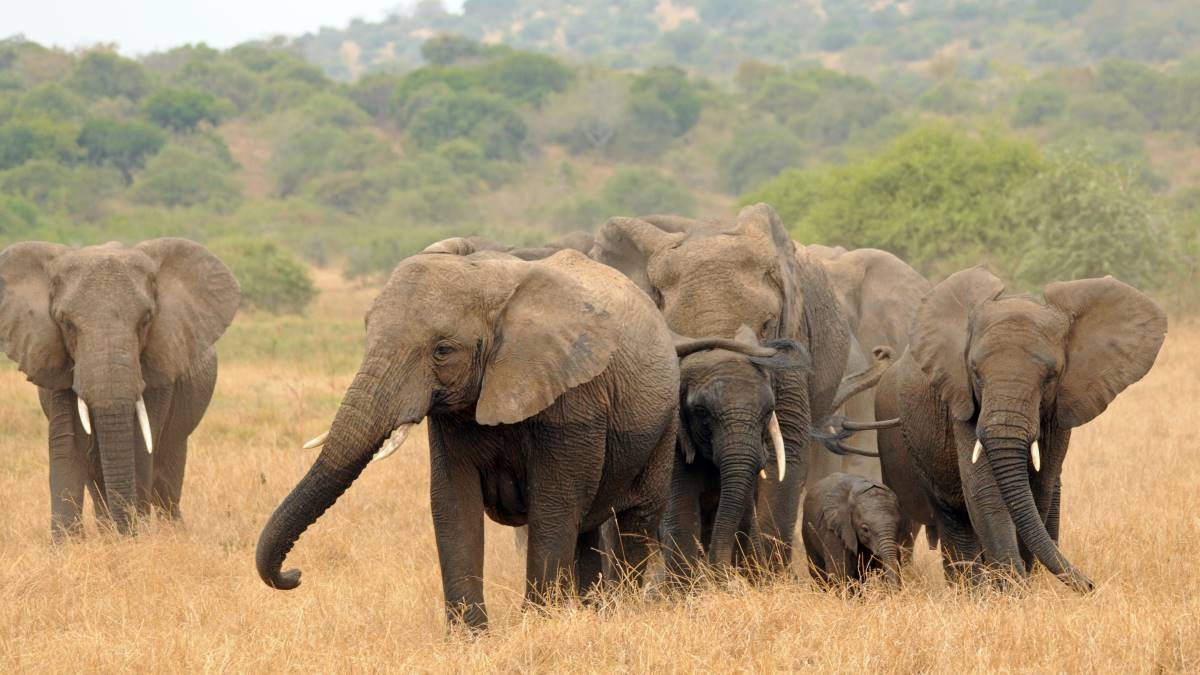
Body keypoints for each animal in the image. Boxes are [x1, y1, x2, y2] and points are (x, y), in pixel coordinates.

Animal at [0, 239, 240, 538]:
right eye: (67, 323)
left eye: (146, 320)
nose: (127, 531)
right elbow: (68, 443)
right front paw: (67, 544)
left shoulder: (159, 361)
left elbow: (140, 442)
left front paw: (134, 539)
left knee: (167, 473)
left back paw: (171, 531)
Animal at [257, 245, 717, 631]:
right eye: (367, 332)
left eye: (443, 350)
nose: (294, 575)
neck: (492, 286)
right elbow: (451, 501)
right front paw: (470, 638)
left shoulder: (573, 397)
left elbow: (554, 503)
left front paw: (539, 627)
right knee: (586, 529)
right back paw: (589, 611)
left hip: (662, 420)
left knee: (635, 518)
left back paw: (624, 611)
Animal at [591, 203, 851, 572]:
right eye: (673, 334)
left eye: (767, 326)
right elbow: (676, 463)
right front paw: (689, 583)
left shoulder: (793, 347)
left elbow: (787, 449)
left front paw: (766, 579)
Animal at [873, 266, 1166, 592]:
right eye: (975, 373)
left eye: (1051, 376)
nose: (1091, 585)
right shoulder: (961, 399)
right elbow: (984, 490)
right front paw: (1013, 591)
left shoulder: (1057, 410)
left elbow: (1039, 488)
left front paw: (1021, 587)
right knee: (952, 513)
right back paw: (969, 590)